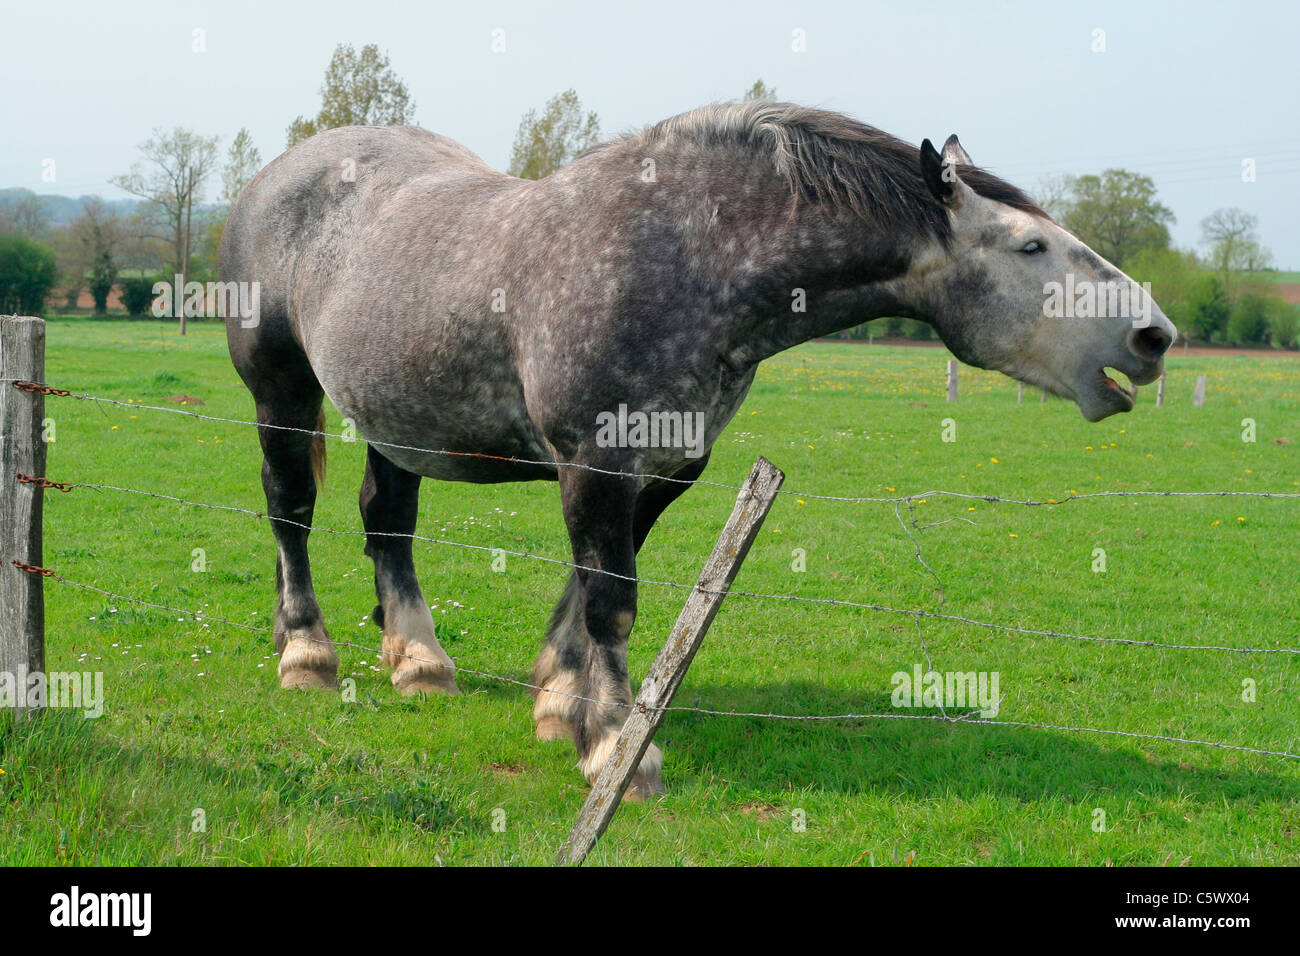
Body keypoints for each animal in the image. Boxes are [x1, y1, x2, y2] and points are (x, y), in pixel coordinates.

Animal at [220, 102, 1176, 798]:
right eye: (1031, 245)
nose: (1154, 335)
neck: (682, 261)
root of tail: (274, 175)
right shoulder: (597, 464)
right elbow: (612, 604)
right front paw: (618, 749)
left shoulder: (663, 472)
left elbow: (588, 595)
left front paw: (560, 705)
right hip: (282, 391)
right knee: (290, 512)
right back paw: (306, 654)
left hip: (392, 413)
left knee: (387, 521)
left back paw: (417, 661)